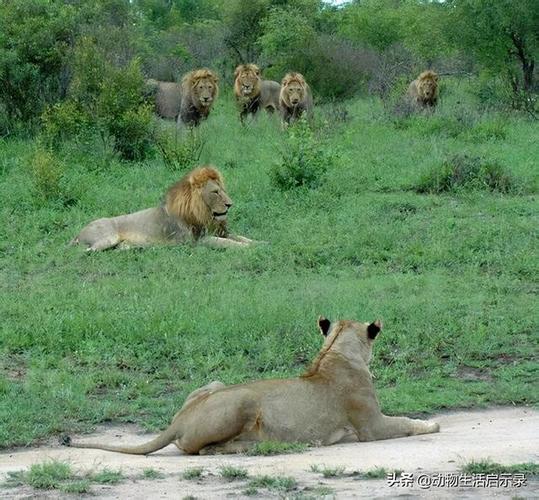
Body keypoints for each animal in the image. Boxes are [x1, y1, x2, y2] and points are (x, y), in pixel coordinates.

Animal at [61, 318, 440, 456]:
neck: (335, 352)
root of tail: (178, 423)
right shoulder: (371, 427)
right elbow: (406, 424)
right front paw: (431, 424)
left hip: (216, 384)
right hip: (244, 398)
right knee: (204, 450)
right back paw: (263, 446)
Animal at [70, 165, 258, 250]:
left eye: (223, 190)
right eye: (215, 192)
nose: (230, 204)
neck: (204, 214)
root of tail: (78, 233)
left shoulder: (217, 231)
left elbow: (241, 237)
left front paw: (259, 243)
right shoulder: (196, 241)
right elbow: (227, 243)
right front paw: (247, 248)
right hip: (108, 237)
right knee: (88, 251)